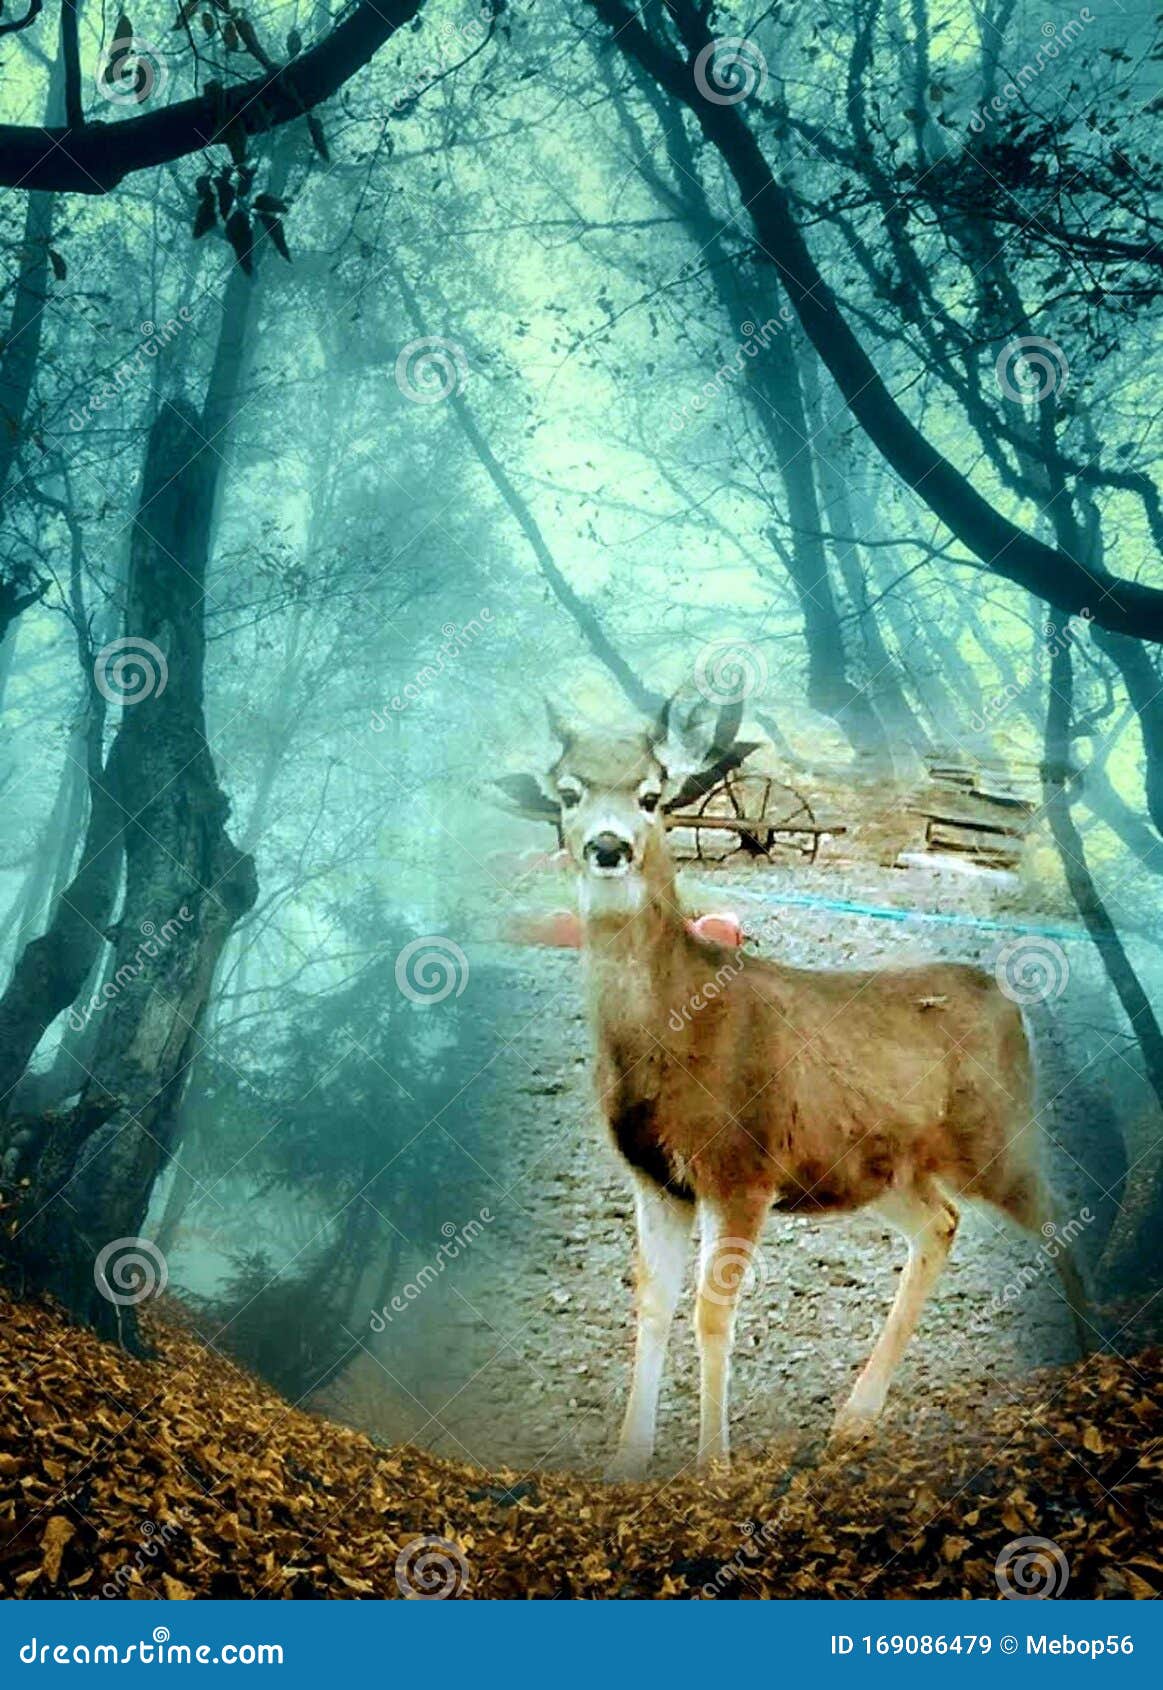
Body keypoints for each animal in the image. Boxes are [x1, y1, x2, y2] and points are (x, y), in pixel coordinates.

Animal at [505, 697, 1089, 1481]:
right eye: (568, 793)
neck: (675, 1027)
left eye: (652, 795)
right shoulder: (654, 1177)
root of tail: (1008, 1001)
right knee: (940, 1223)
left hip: (997, 1137)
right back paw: (855, 1418)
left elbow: (711, 1313)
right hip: (885, 1168)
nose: (607, 845)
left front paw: (713, 1468)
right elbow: (652, 1304)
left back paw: (1084, 1371)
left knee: (1064, 1217)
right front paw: (626, 1464)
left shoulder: (741, 1168)